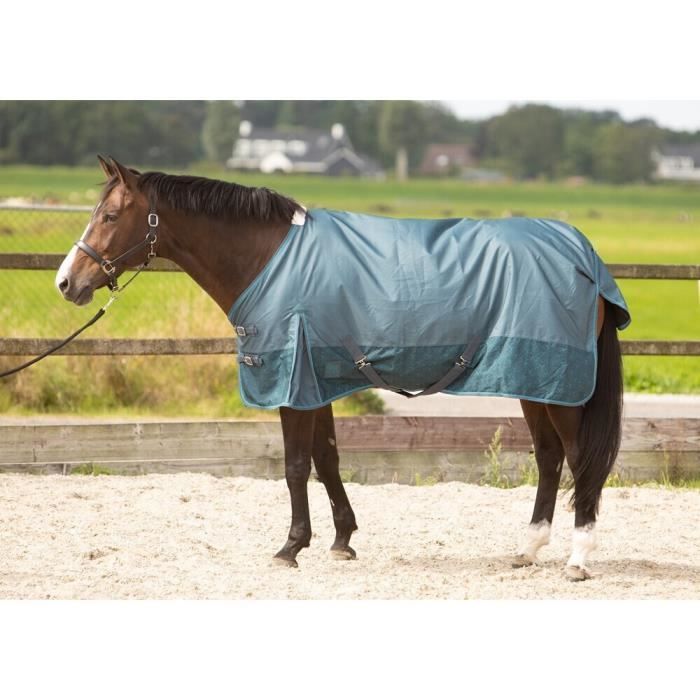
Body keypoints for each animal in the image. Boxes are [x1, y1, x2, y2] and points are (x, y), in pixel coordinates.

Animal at [55, 156, 629, 581]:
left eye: (109, 217)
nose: (66, 282)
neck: (269, 260)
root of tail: (583, 255)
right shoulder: (316, 382)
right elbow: (327, 459)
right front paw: (341, 541)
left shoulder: (291, 383)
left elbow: (294, 465)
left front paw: (289, 547)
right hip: (537, 381)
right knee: (550, 457)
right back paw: (528, 549)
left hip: (562, 387)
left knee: (580, 459)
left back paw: (578, 559)